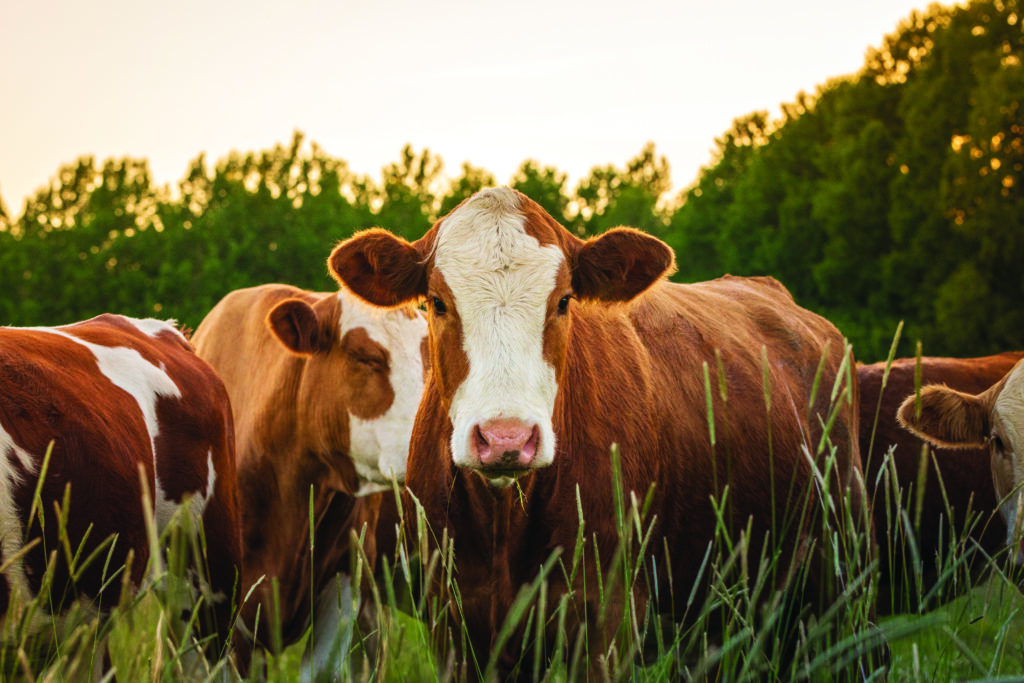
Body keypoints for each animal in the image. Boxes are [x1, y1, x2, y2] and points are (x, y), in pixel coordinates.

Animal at [328, 187, 872, 679]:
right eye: (438, 302)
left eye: (564, 300)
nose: (506, 439)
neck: (505, 522)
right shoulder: (452, 623)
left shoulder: (606, 619)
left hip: (837, 567)